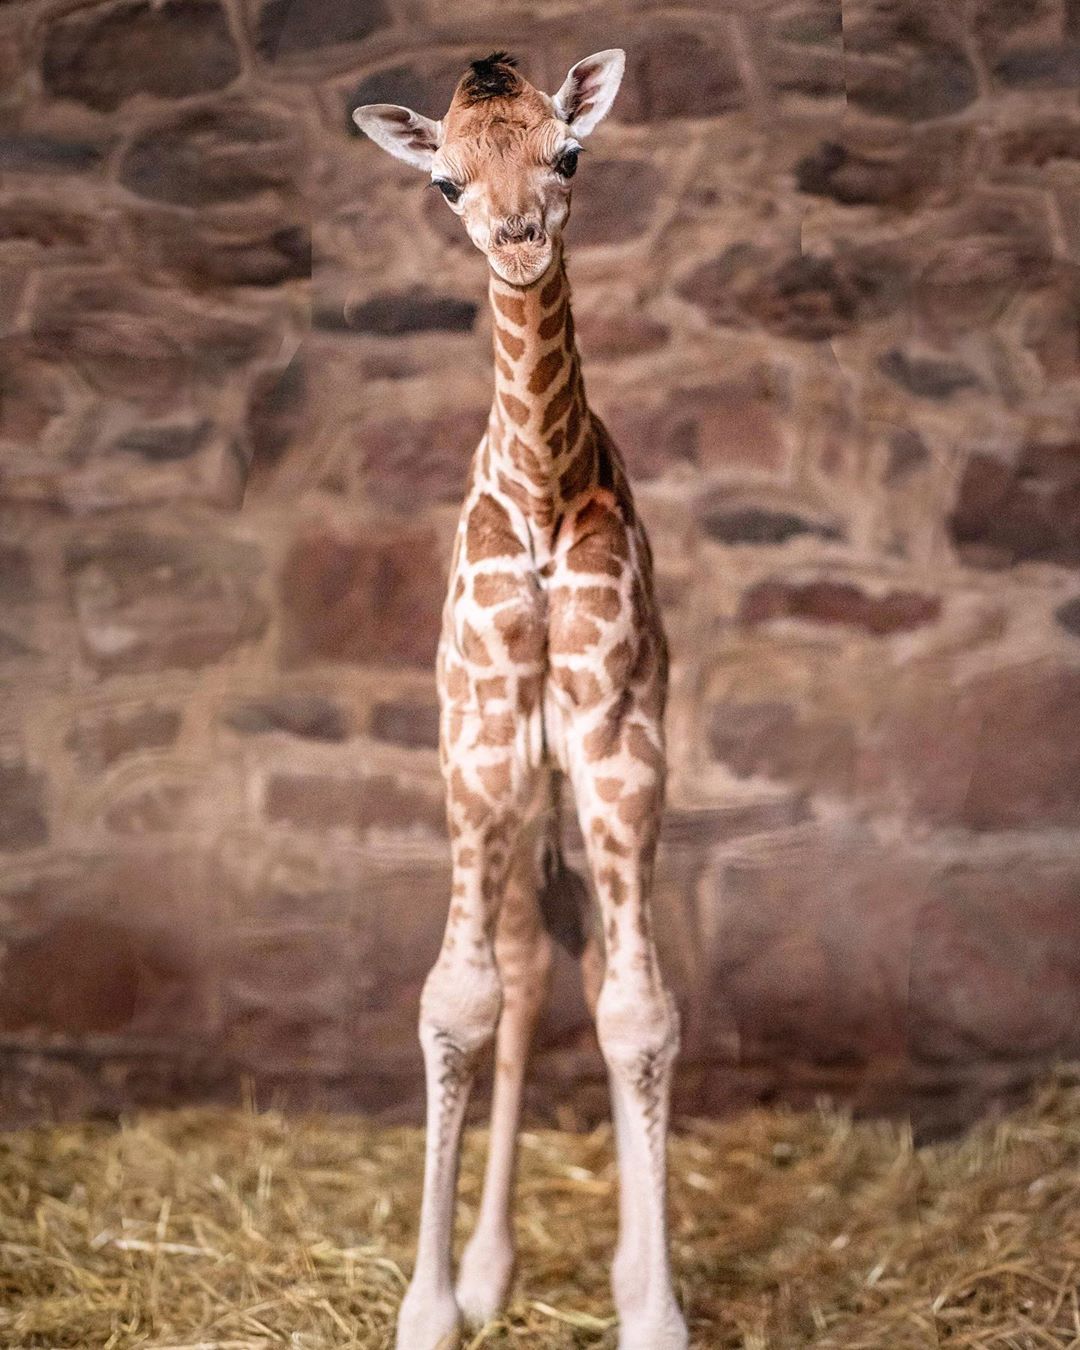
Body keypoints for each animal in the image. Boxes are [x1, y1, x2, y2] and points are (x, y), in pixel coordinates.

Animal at [354, 50, 687, 1350]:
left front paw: (657, 1313)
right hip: (508, 788)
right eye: (445, 181)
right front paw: (432, 1306)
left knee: (581, 972)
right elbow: (459, 1002)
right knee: (527, 968)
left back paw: (614, 1272)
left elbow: (637, 1013)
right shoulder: (486, 740)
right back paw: (491, 1270)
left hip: (580, 784)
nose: (517, 240)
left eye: (569, 156)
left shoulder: (616, 743)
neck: (545, 487)